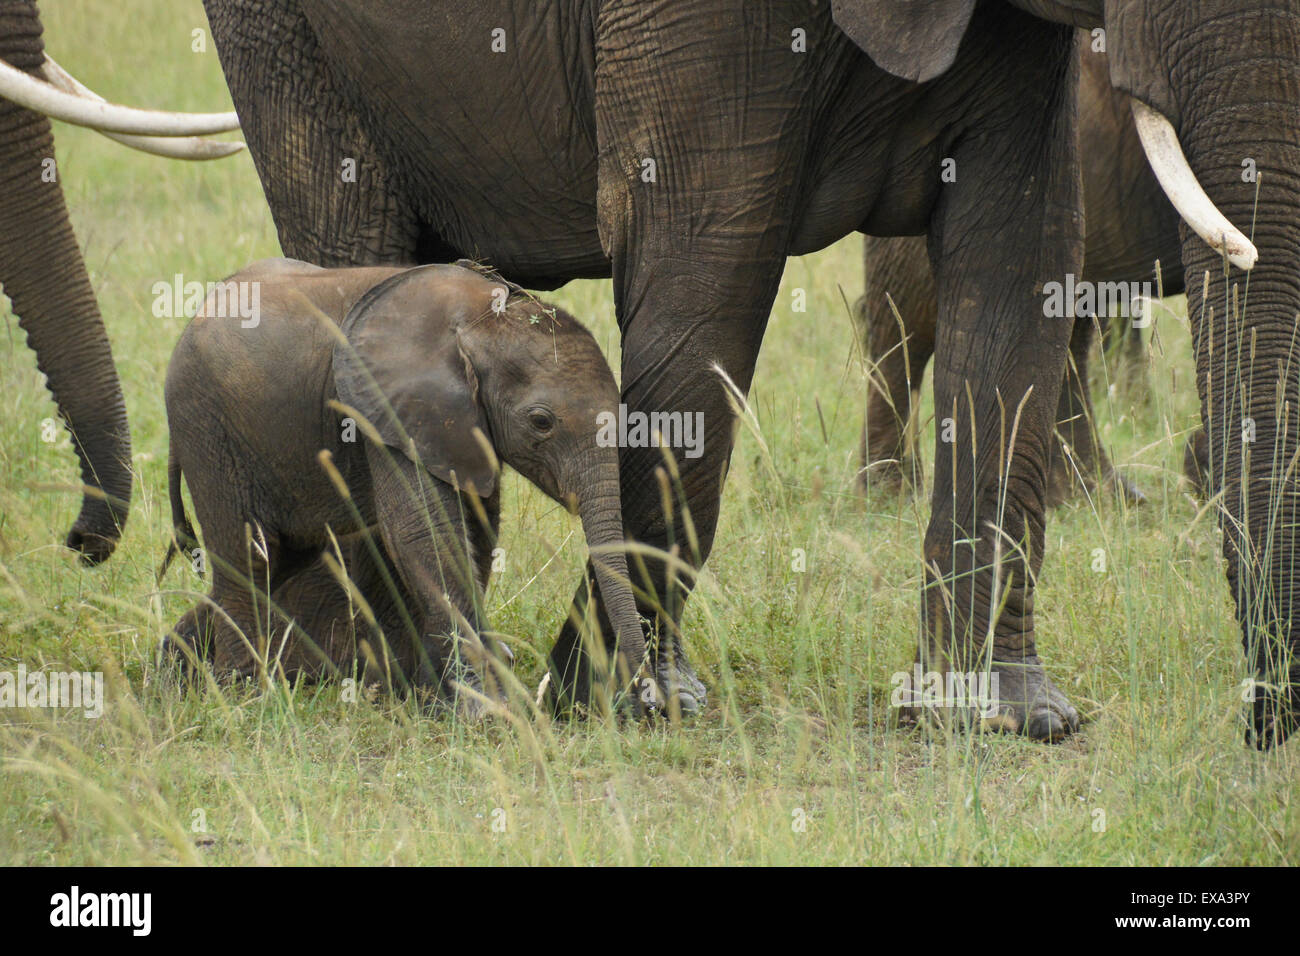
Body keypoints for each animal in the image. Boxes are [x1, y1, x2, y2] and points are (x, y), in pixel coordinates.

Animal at [160, 258, 650, 711]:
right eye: (541, 422)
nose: (645, 700)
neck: (480, 318)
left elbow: (475, 527)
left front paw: (438, 695)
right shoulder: (387, 411)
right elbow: (423, 531)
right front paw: (486, 708)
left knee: (279, 560)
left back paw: (177, 665)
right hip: (208, 428)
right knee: (249, 557)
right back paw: (241, 690)